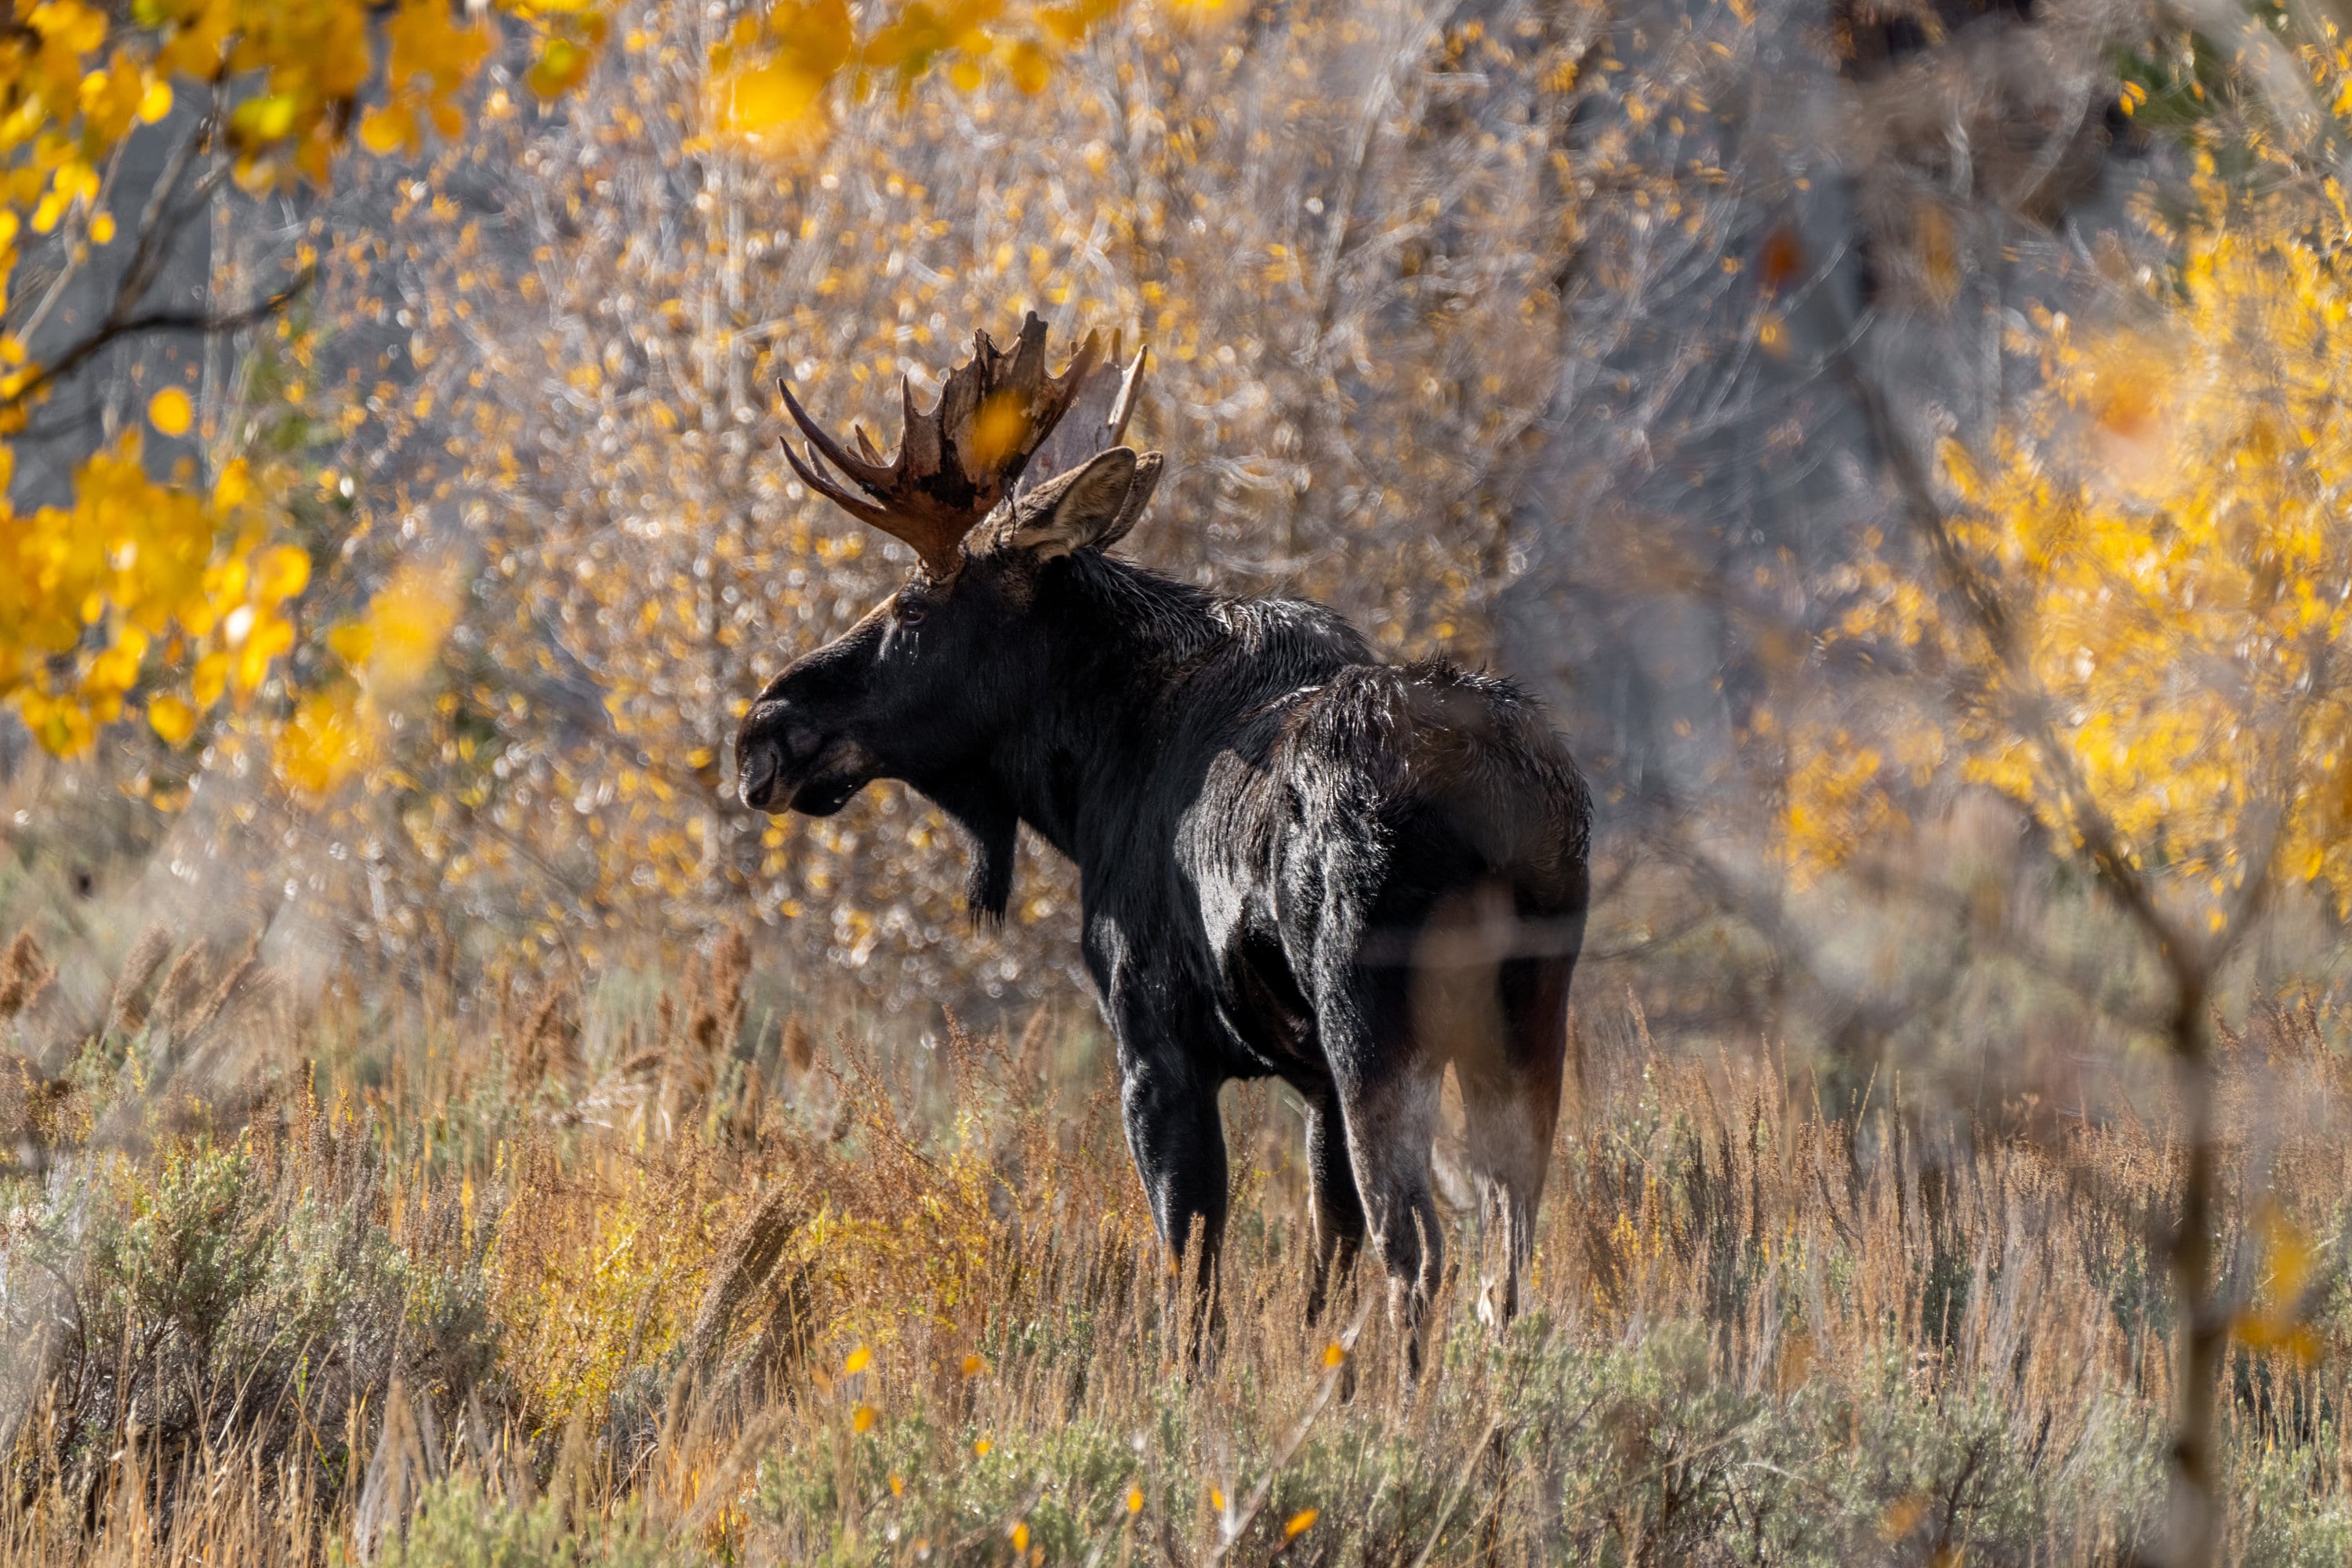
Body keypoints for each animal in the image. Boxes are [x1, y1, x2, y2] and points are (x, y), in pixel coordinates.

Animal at [736, 314, 1591, 1375]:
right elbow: (1320, 1270)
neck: (1085, 777)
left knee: (1421, 1246)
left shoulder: (1153, 1045)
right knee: (1507, 1248)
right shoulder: (1309, 1085)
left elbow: (1191, 1279)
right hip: (1529, 1014)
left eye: (912, 608)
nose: (764, 730)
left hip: (1377, 1018)